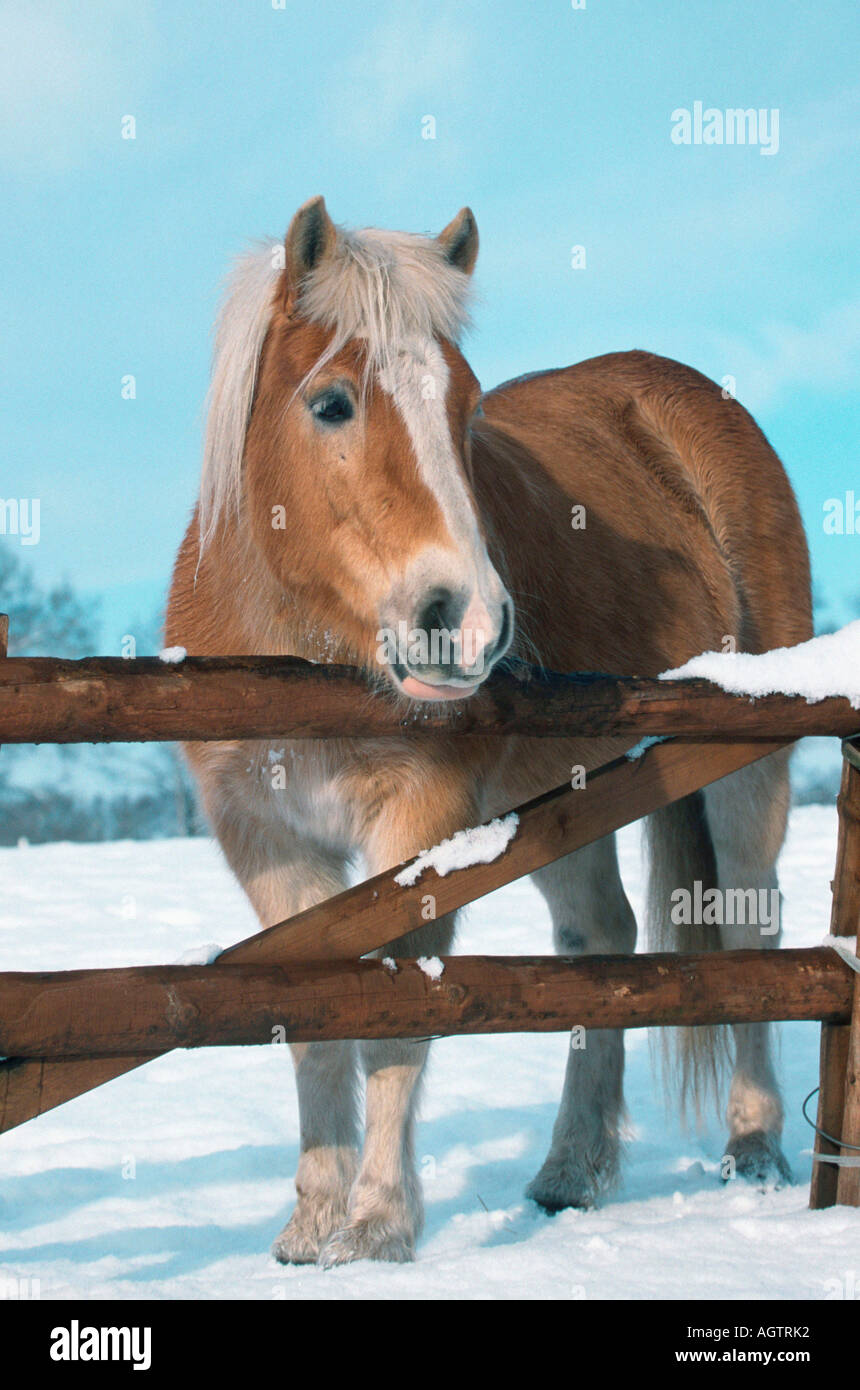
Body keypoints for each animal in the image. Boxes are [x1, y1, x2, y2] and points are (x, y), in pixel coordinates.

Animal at [166, 196, 812, 1266]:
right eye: (331, 403)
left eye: (466, 407)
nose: (463, 619)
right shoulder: (266, 839)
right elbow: (311, 1025)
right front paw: (309, 1224)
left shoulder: (420, 824)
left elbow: (396, 1018)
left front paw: (377, 1223)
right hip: (558, 799)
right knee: (603, 941)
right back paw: (571, 1173)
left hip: (741, 767)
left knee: (750, 931)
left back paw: (755, 1149)